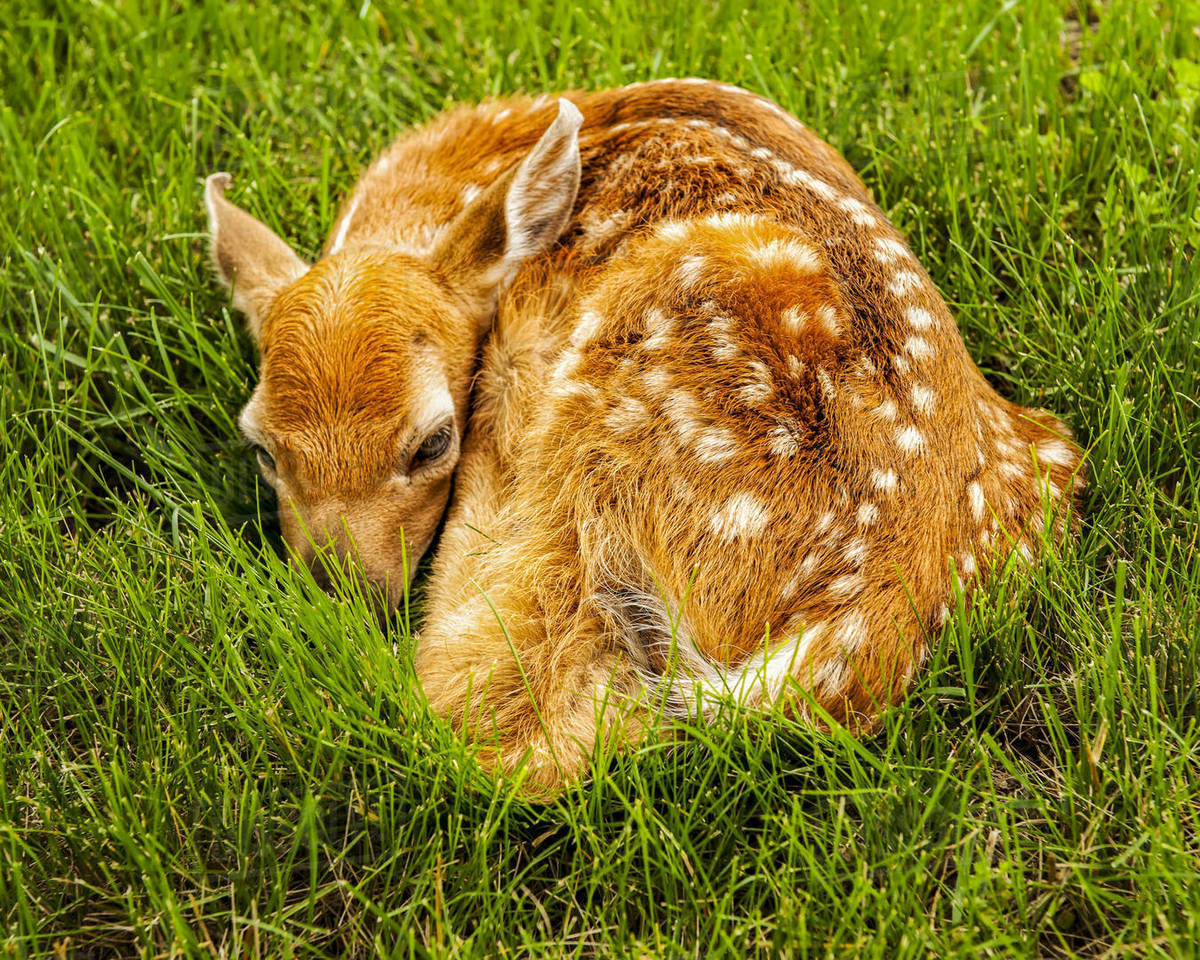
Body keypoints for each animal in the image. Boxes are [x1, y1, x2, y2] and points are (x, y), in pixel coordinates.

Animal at [204, 79, 1085, 793]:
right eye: (262, 448)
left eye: (432, 442)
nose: (340, 596)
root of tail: (872, 618)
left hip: (597, 459)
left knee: (491, 721)